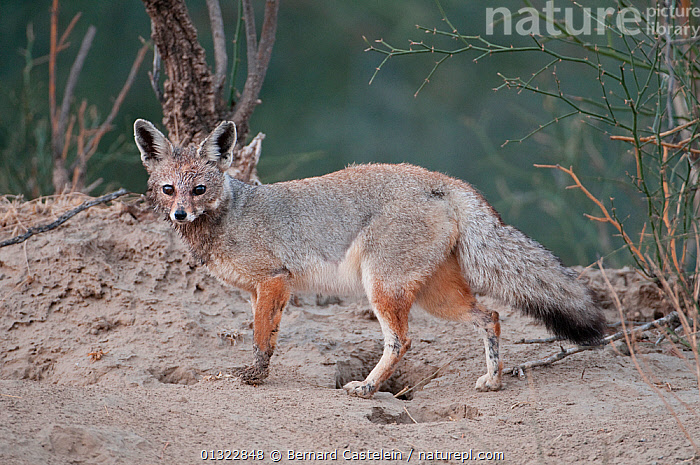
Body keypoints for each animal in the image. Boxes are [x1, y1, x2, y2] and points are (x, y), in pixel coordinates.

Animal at [134, 118, 606, 398]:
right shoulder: (259, 291)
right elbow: (263, 337)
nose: (179, 214)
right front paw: (255, 373)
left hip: (382, 288)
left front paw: (252, 378)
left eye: (199, 190)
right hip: (437, 298)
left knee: (402, 341)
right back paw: (493, 379)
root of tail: (443, 180)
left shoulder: (274, 281)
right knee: (489, 316)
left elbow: (261, 341)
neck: (231, 213)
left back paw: (366, 386)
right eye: (168, 190)